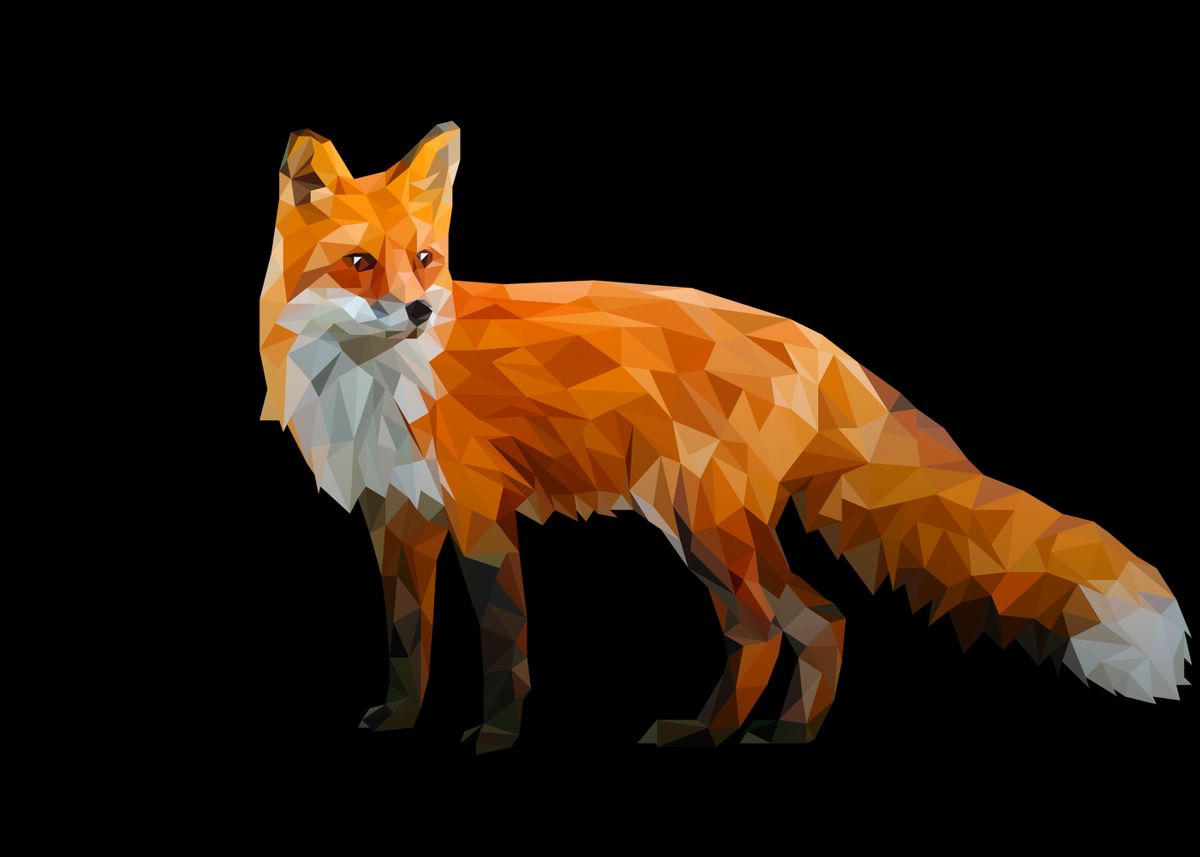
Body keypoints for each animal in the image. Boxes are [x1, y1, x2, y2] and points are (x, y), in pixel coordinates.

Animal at [259, 121, 1190, 752]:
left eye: (424, 259)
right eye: (360, 265)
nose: (421, 311)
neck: (373, 389)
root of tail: (815, 338)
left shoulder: (481, 514)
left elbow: (503, 638)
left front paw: (495, 736)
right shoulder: (395, 518)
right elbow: (407, 637)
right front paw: (399, 717)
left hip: (702, 528)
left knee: (772, 629)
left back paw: (704, 733)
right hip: (714, 532)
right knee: (819, 623)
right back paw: (785, 734)